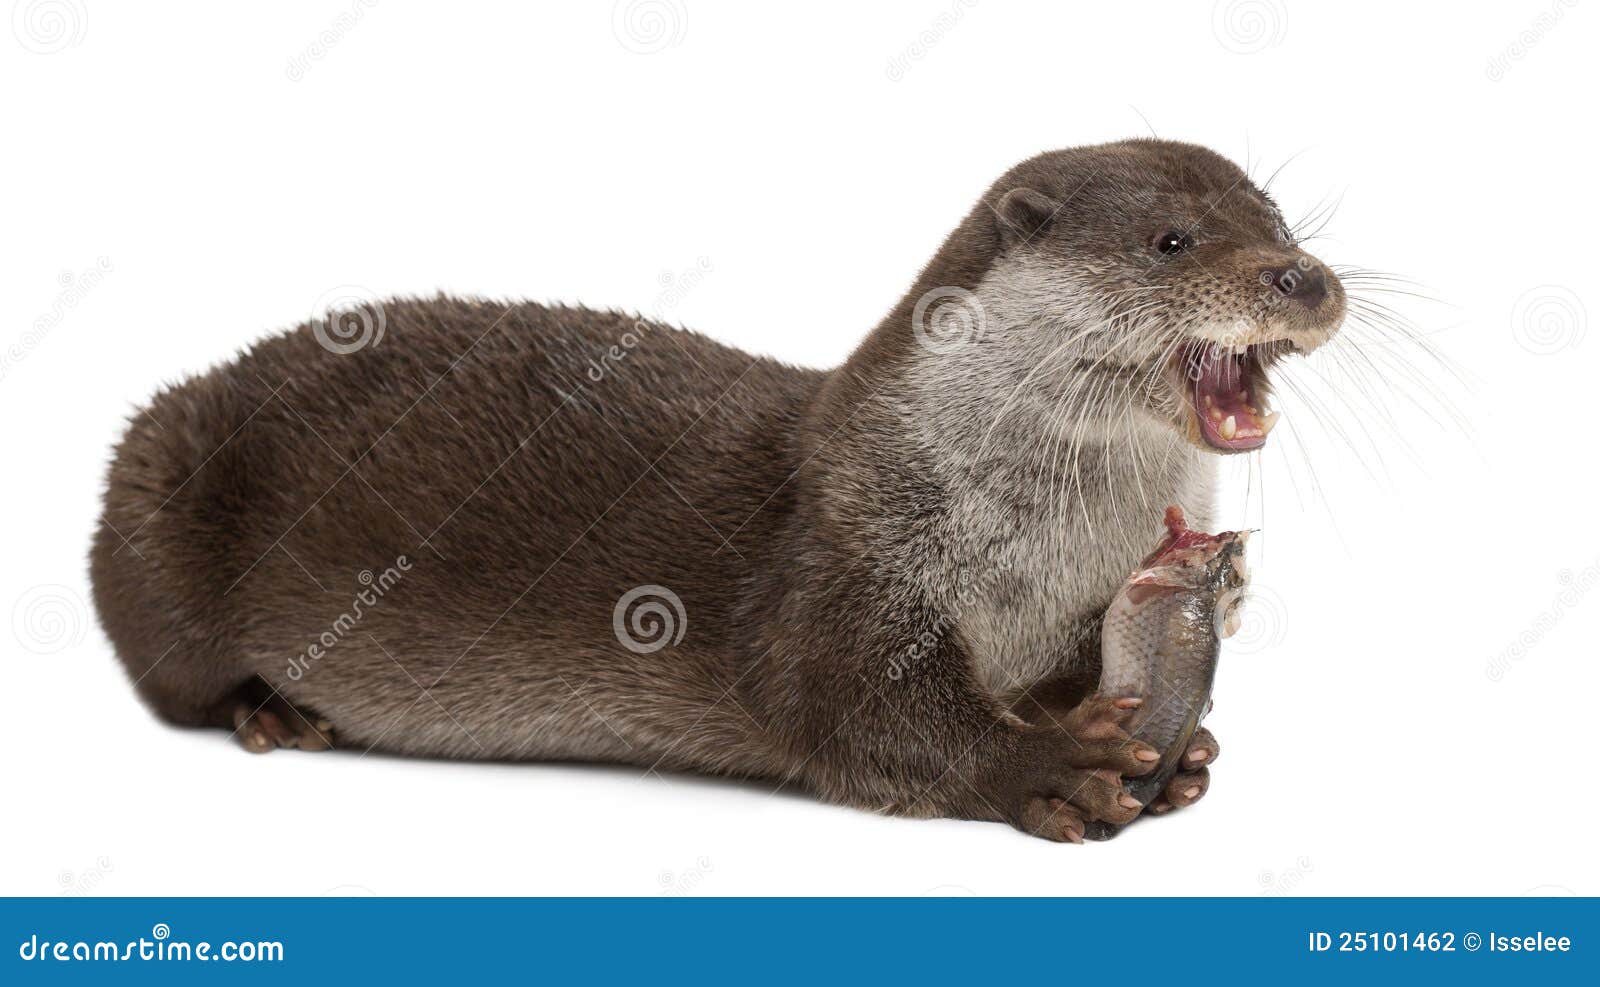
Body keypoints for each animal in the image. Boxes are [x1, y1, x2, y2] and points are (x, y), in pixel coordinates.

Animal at [90, 139, 1345, 842]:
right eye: (1171, 239)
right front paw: (1046, 767)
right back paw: (273, 711)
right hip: (153, 483)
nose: (1302, 279)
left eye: (1282, 225)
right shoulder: (841, 554)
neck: (1036, 553)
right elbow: (848, 707)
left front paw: (1179, 754)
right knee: (168, 674)